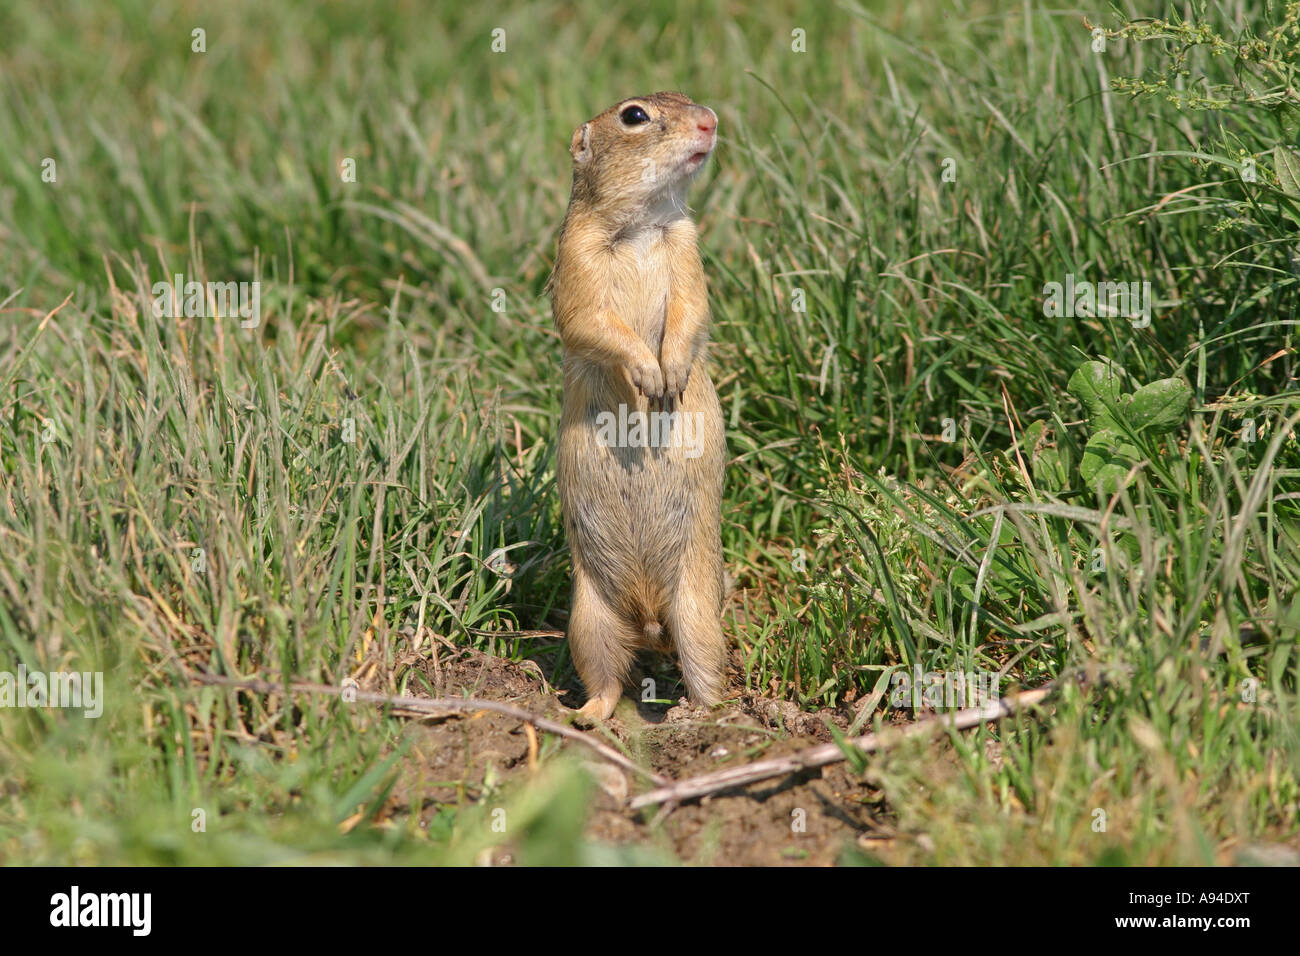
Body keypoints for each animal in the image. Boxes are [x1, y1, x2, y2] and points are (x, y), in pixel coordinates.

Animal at [548, 92, 727, 720]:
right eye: (633, 116)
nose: (710, 121)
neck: (642, 227)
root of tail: (649, 616)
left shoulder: (688, 246)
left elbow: (692, 311)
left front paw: (669, 374)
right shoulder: (577, 254)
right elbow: (589, 321)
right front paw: (646, 372)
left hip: (697, 613)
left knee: (708, 673)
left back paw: (701, 714)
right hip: (589, 619)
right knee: (605, 678)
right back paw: (584, 715)